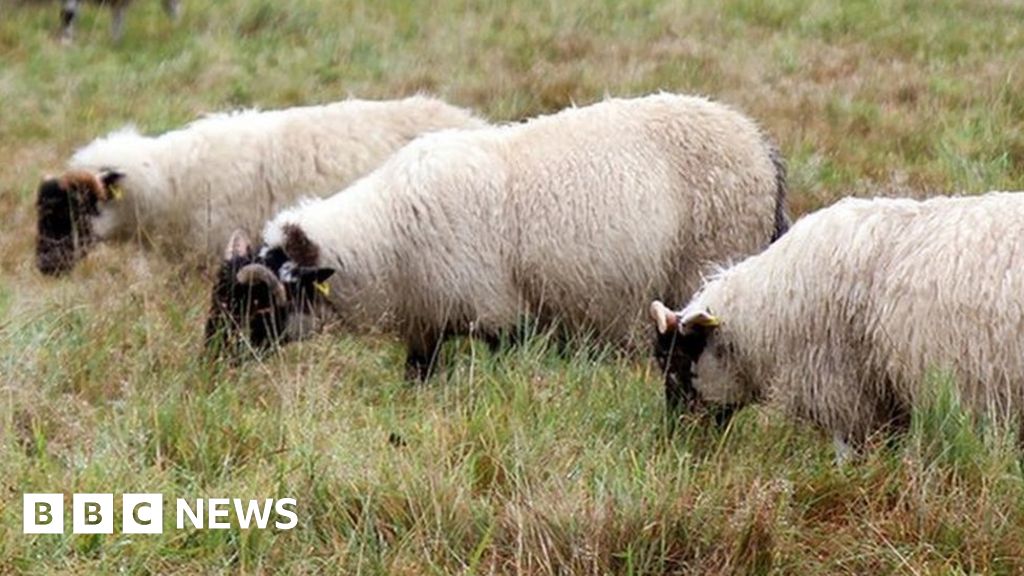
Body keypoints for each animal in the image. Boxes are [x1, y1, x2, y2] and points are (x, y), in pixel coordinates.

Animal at [203, 93, 790, 380]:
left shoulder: (500, 317)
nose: (210, 358)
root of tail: (761, 146)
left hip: (711, 258)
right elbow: (419, 376)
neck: (385, 236)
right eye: (220, 292)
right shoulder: (426, 322)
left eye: (257, 303)